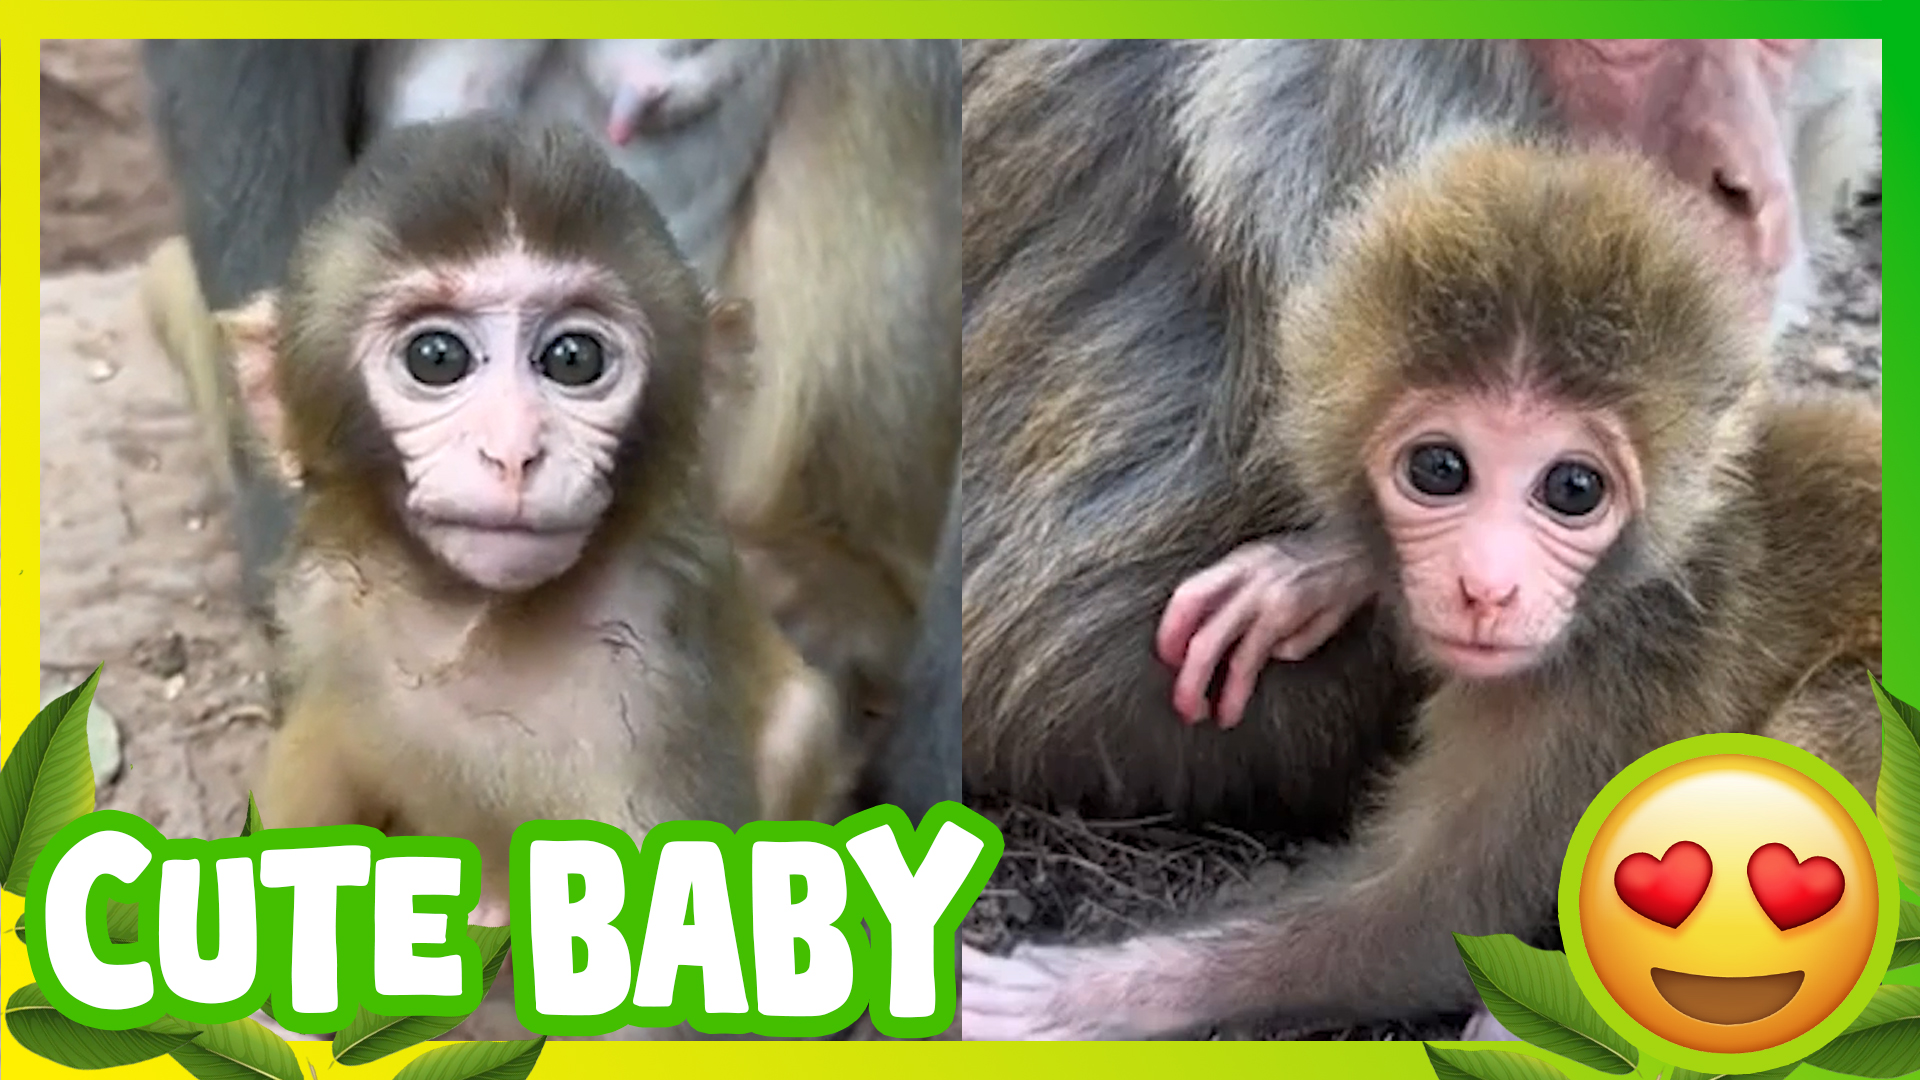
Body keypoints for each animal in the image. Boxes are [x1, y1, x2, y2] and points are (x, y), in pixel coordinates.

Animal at [224, 116, 849, 944]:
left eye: (573, 358)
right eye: (436, 357)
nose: (515, 451)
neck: (471, 619)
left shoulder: (648, 676)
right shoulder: (326, 605)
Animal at [959, 134, 1882, 1041]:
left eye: (1574, 488)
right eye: (1440, 470)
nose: (1487, 587)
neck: (1641, 586)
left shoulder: (1608, 690)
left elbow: (1433, 926)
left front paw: (1078, 993)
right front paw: (1318, 572)